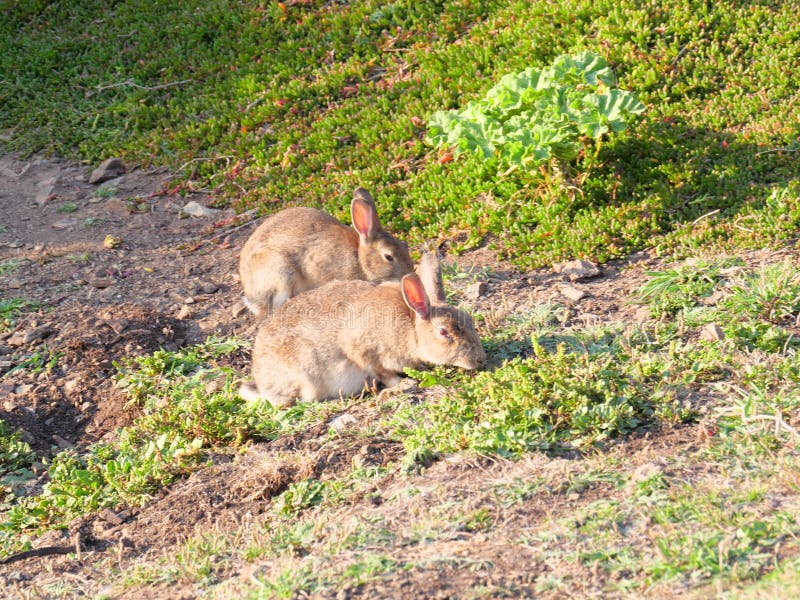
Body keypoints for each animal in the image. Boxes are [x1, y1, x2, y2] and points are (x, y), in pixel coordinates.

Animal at [238, 252, 486, 408]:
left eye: (469, 321)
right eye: (444, 332)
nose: (480, 360)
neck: (411, 328)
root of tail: (261, 382)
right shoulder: (362, 349)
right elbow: (382, 371)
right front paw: (400, 385)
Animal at [239, 187, 414, 319]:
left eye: (405, 246)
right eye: (389, 257)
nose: (409, 273)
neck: (359, 258)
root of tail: (252, 297)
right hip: (281, 274)